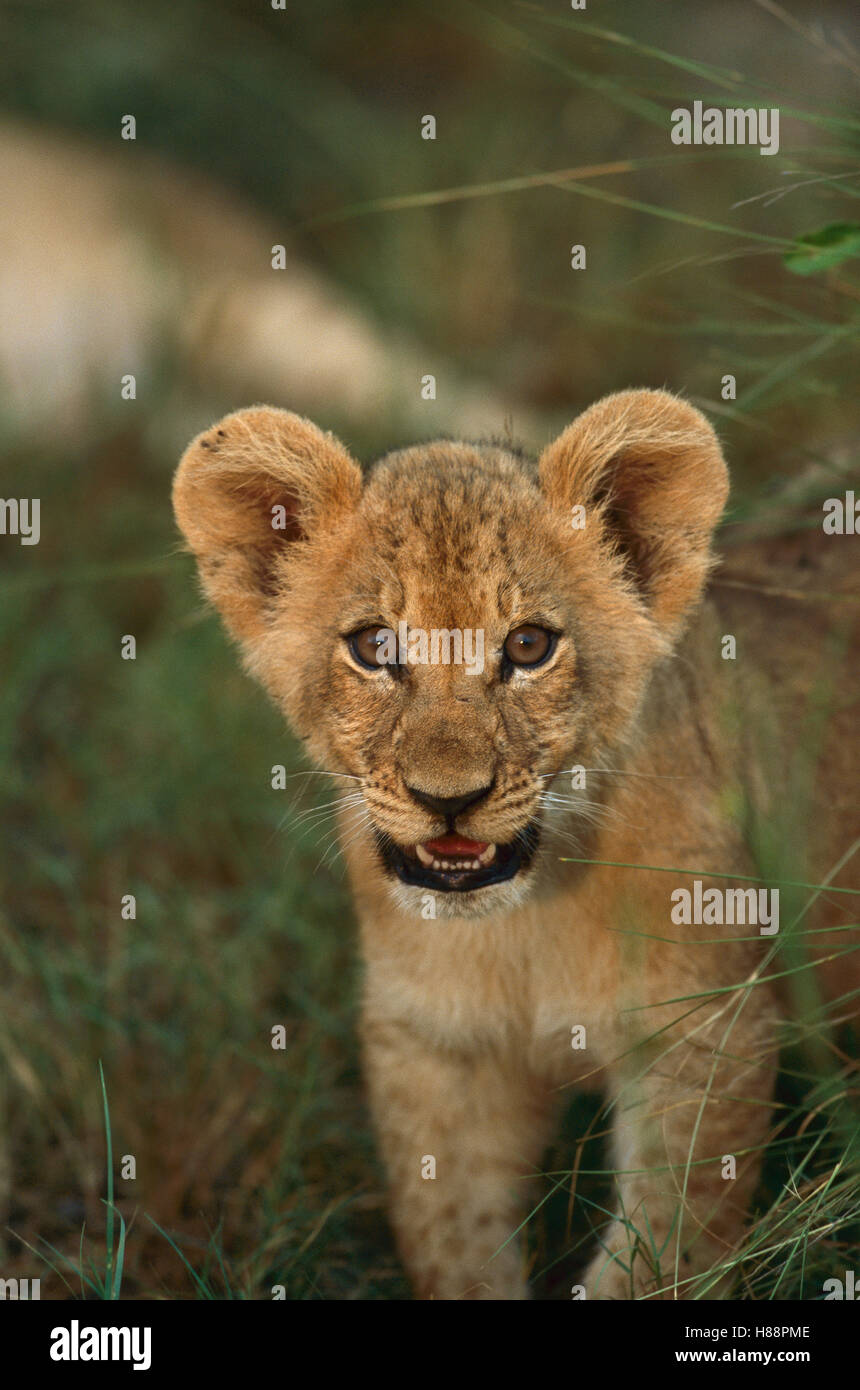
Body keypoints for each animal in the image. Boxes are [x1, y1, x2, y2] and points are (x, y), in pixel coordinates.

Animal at [172, 389, 858, 1300]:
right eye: (374, 647)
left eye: (529, 646)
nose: (449, 799)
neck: (522, 928)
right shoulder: (433, 1050)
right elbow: (453, 1244)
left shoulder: (706, 1035)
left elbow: (662, 1252)